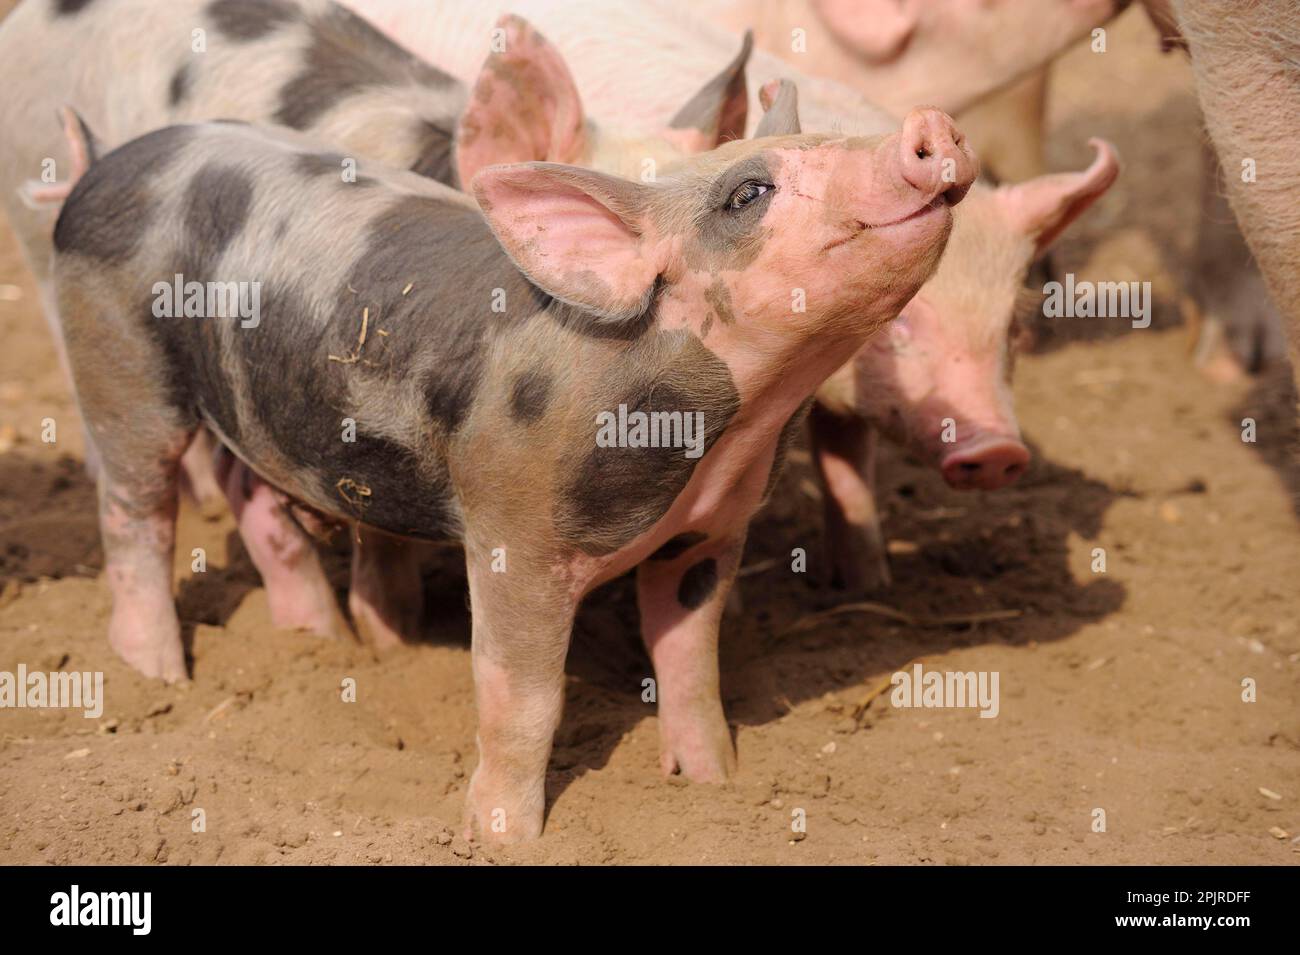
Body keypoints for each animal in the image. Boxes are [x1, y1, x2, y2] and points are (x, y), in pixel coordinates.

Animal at [51, 92, 975, 837]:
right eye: (748, 193)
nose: (929, 126)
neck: (727, 432)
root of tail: (106, 163)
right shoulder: (513, 526)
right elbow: (524, 697)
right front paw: (501, 836)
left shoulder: (709, 534)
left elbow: (690, 663)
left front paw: (716, 785)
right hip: (117, 358)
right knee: (133, 509)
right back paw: (157, 673)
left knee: (249, 490)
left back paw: (322, 641)